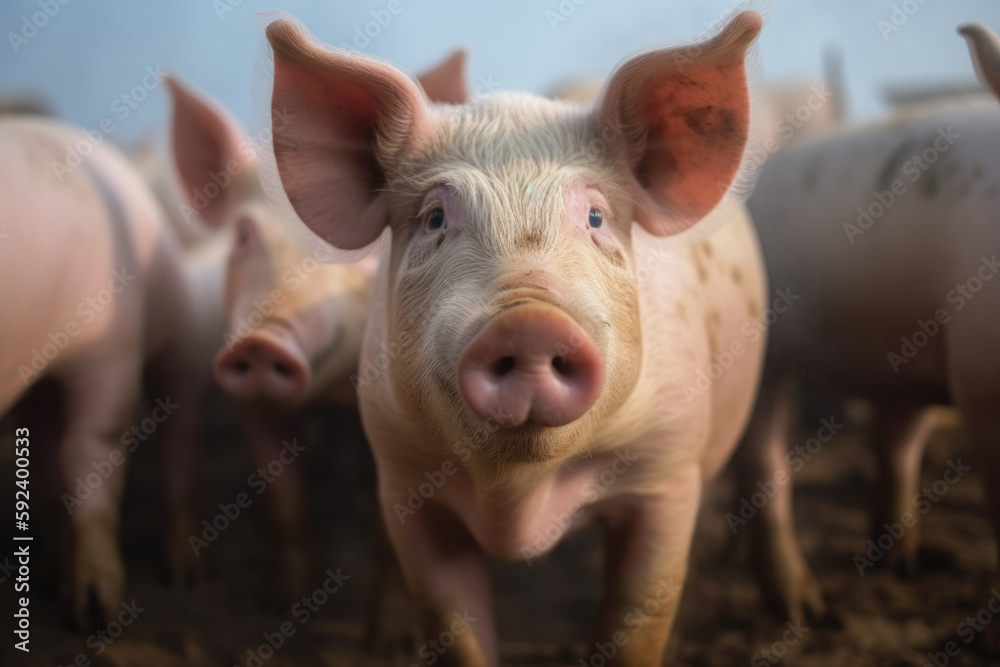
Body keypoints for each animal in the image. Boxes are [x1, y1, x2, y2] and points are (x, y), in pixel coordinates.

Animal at [0, 117, 205, 625]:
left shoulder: (112, 350)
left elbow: (95, 451)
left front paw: (95, 612)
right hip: (44, 390)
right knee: (43, 451)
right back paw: (52, 567)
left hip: (178, 331)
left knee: (181, 431)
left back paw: (184, 573)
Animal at [262, 9, 769, 665]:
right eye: (434, 218)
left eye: (596, 218)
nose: (527, 320)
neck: (518, 498)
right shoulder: (403, 478)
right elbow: (453, 625)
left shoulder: (668, 473)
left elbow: (638, 619)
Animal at [737, 22, 1000, 621]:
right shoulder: (981, 385)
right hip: (763, 352)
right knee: (764, 458)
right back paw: (801, 610)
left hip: (915, 350)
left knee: (896, 438)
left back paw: (905, 563)